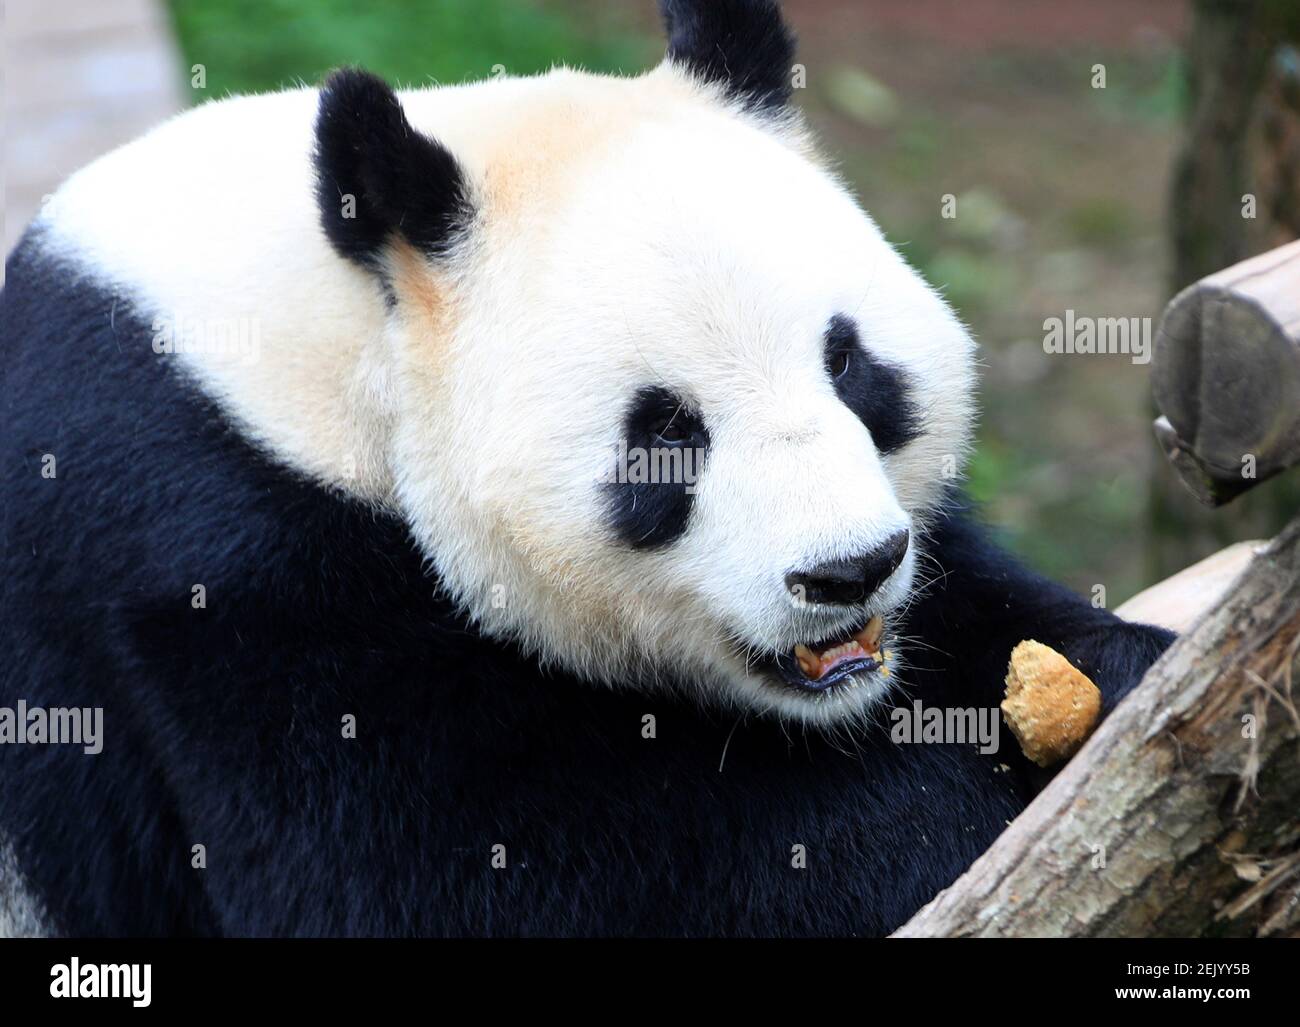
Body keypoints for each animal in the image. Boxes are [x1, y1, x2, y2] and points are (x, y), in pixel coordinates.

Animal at [0, 0, 1173, 937]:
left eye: (847, 362)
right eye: (665, 433)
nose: (848, 570)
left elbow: (983, 595)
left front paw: (1119, 684)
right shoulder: (213, 550)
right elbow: (445, 869)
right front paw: (941, 825)